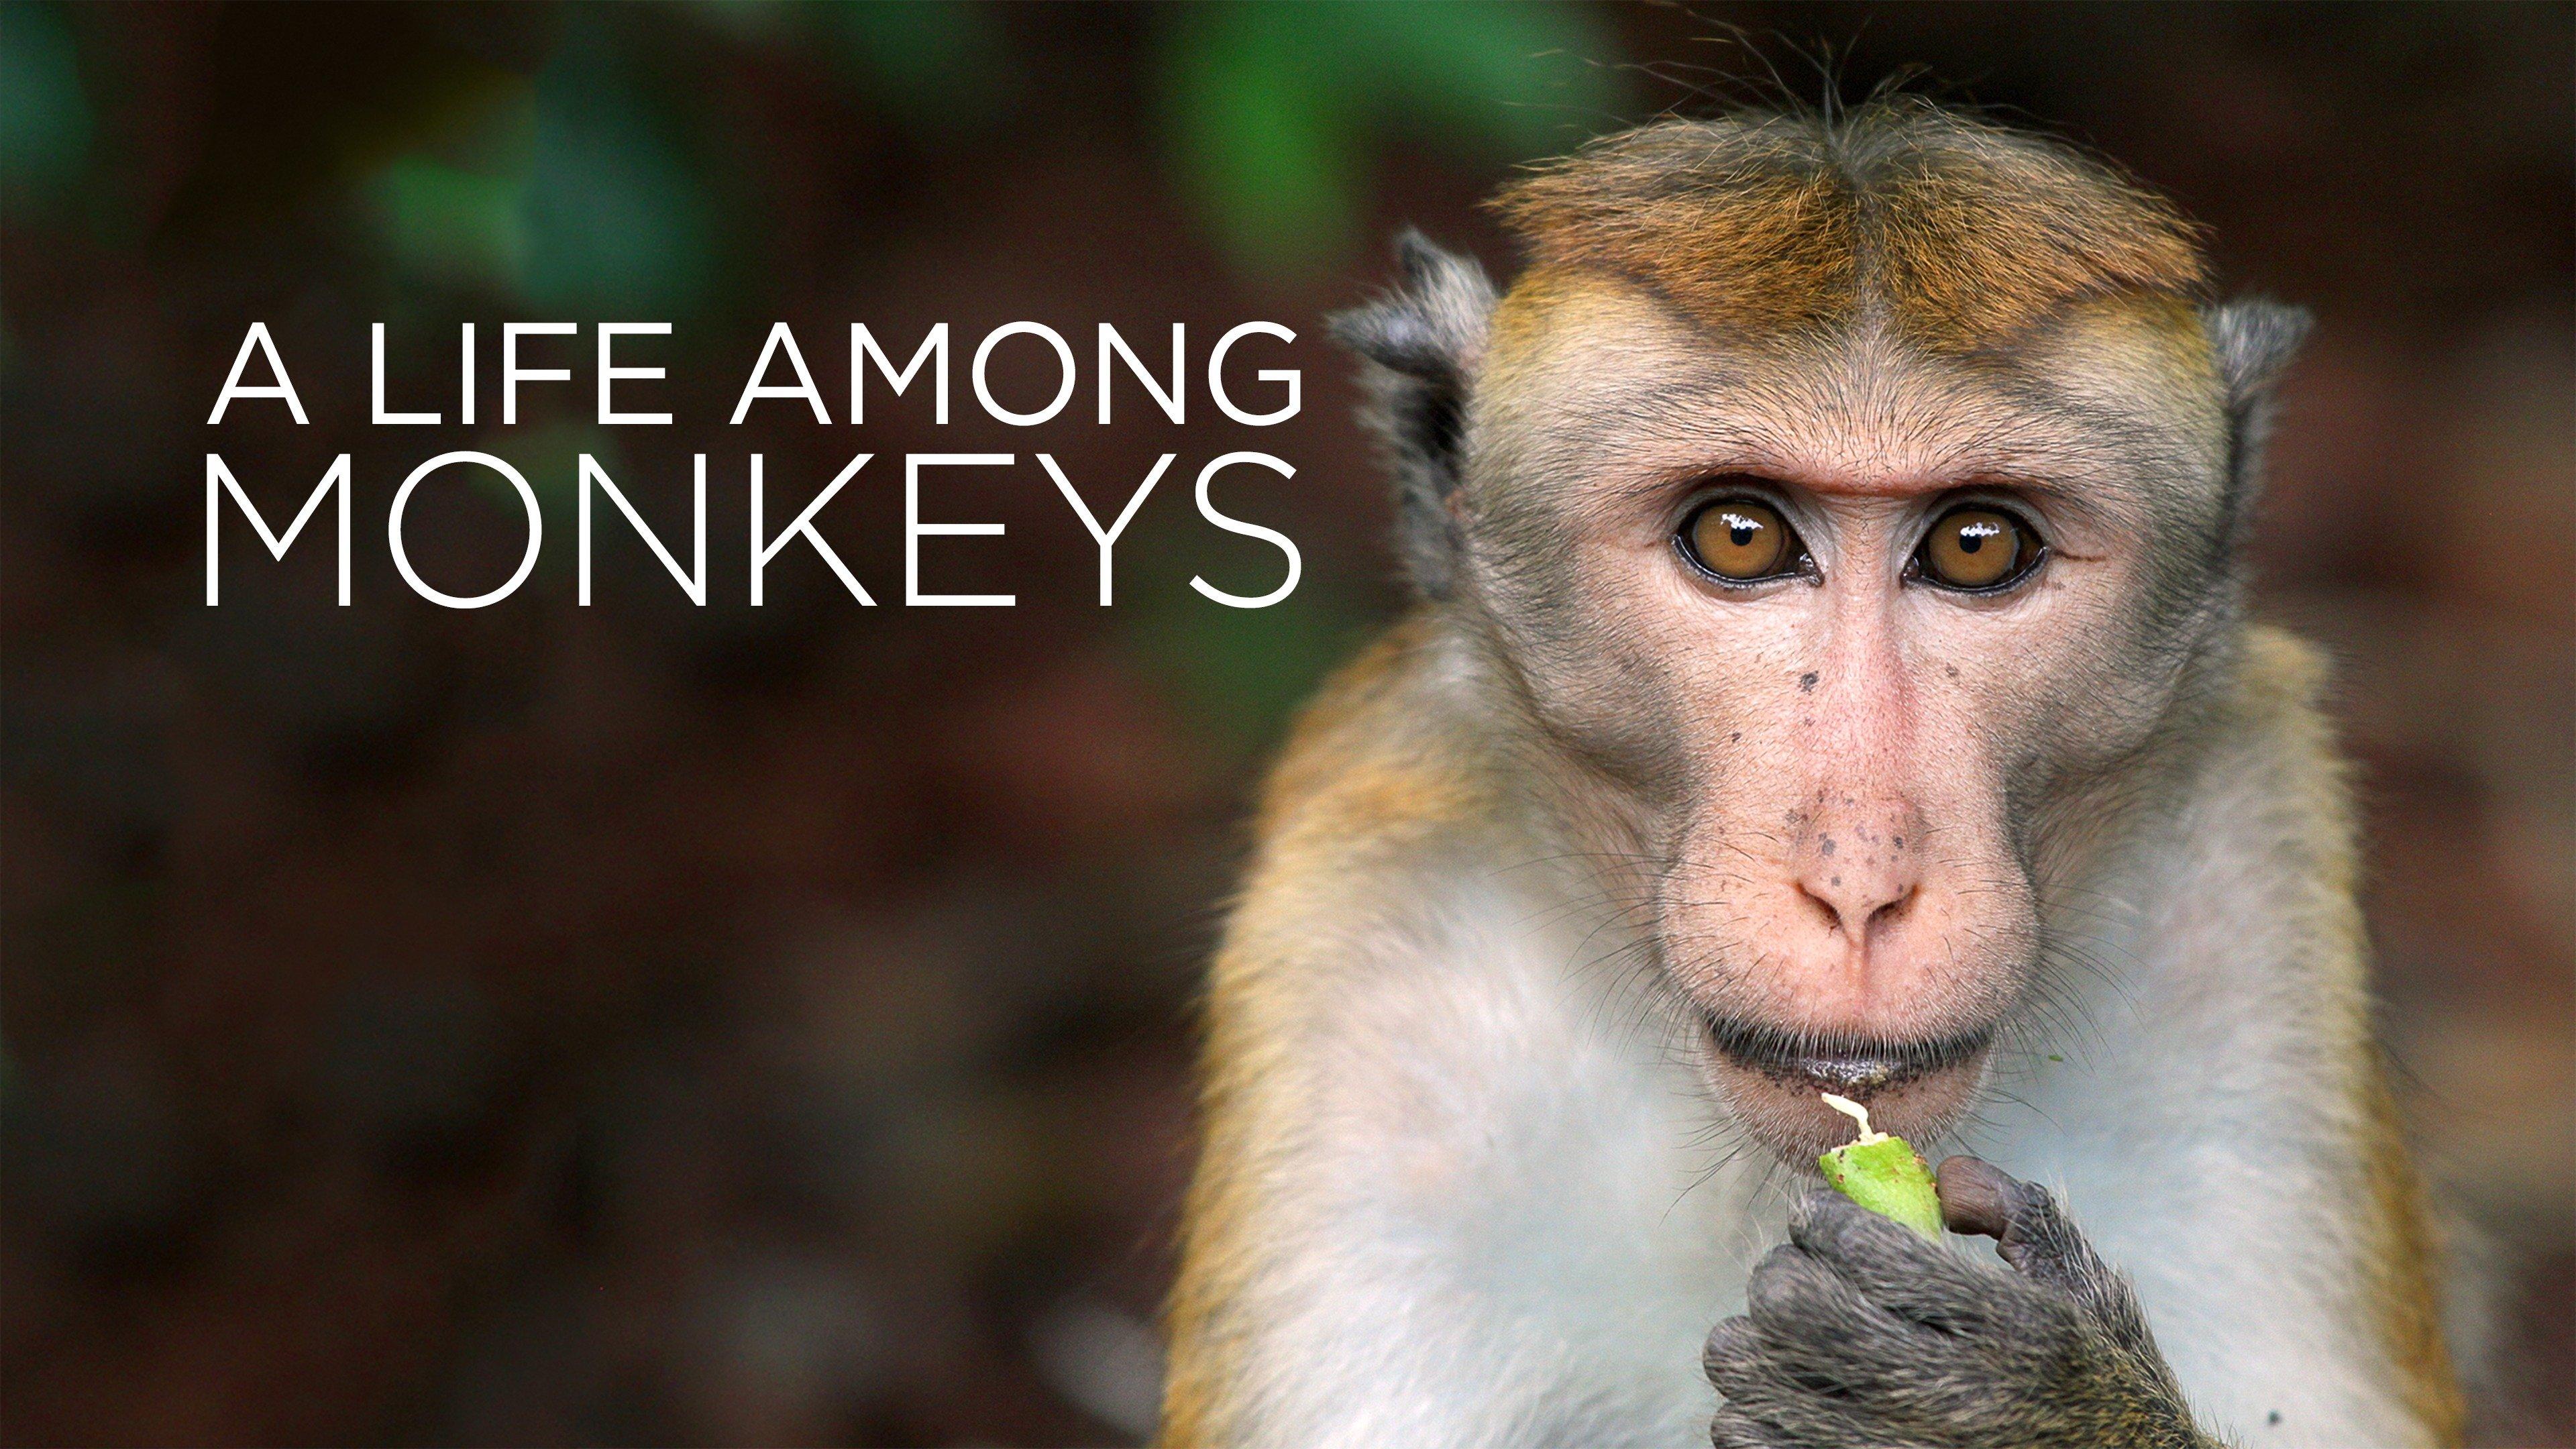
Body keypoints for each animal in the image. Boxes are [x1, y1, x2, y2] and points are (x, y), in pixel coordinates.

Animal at [1157, 100, 2467, 1449]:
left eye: (1977, 544)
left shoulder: (2251, 898)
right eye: (1739, 535)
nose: (1859, 882)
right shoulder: (1379, 978)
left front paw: (2004, 1404)